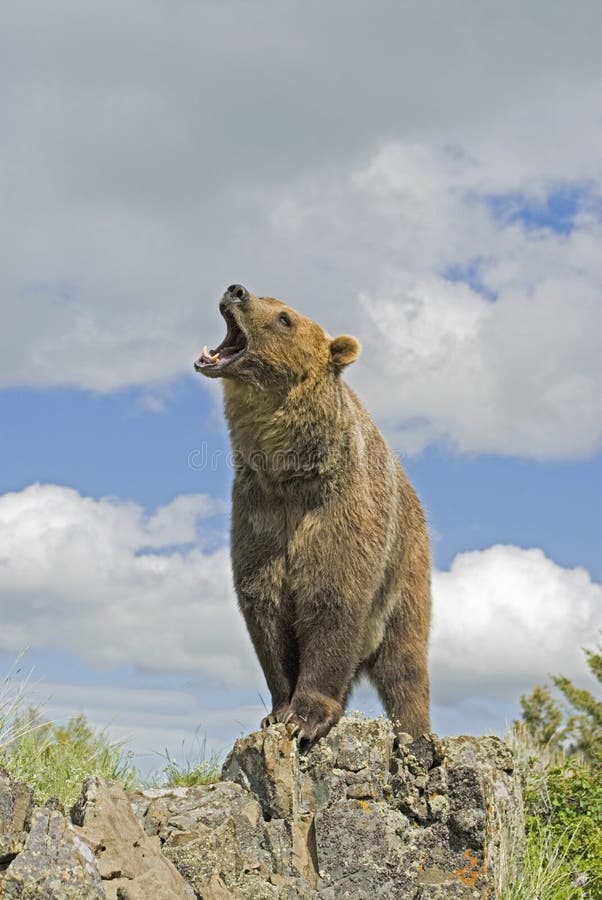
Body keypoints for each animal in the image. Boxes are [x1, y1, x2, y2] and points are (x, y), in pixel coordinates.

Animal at [195, 284, 431, 745]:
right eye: (266, 298)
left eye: (285, 318)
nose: (236, 291)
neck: (289, 470)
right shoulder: (260, 513)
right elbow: (264, 605)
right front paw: (278, 711)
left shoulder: (338, 507)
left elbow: (332, 594)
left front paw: (307, 717)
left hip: (405, 570)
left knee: (405, 662)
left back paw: (416, 734)